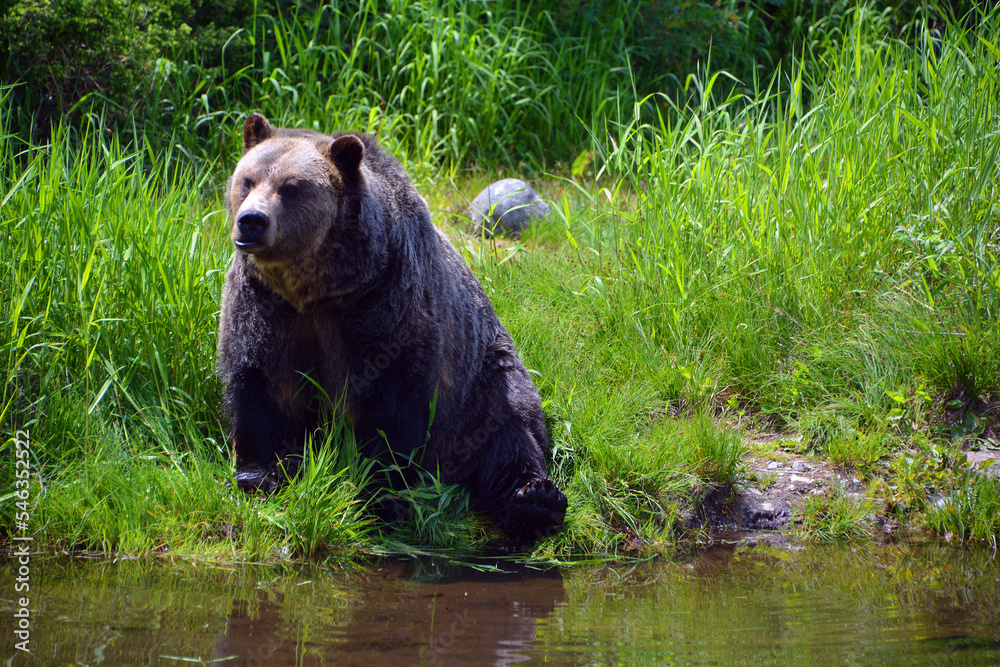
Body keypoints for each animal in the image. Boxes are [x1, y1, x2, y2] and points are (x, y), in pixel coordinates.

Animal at [216, 113, 568, 541]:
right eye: (247, 179)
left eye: (291, 187)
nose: (251, 221)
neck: (317, 288)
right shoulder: (267, 306)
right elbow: (261, 380)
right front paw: (258, 475)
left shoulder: (385, 303)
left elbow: (393, 401)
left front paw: (381, 492)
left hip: (483, 376)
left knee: (507, 427)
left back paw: (534, 498)